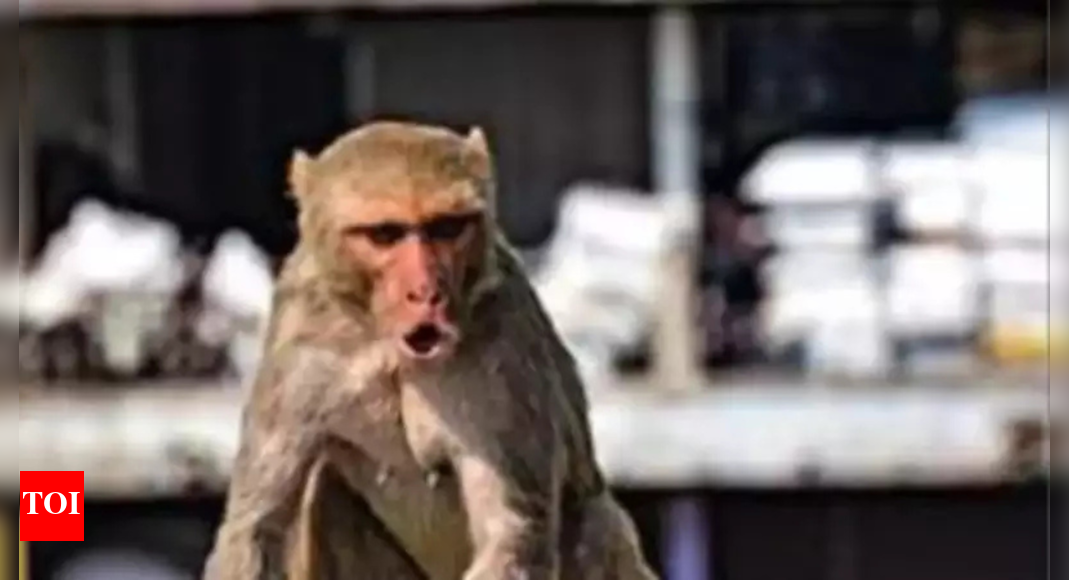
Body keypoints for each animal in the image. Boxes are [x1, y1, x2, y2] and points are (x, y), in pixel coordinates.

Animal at [201, 121, 659, 580]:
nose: (426, 292)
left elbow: (512, 535)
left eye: (447, 228)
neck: (384, 344)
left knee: (592, 521)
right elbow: (256, 529)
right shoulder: (301, 333)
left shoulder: (503, 340)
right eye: (385, 234)